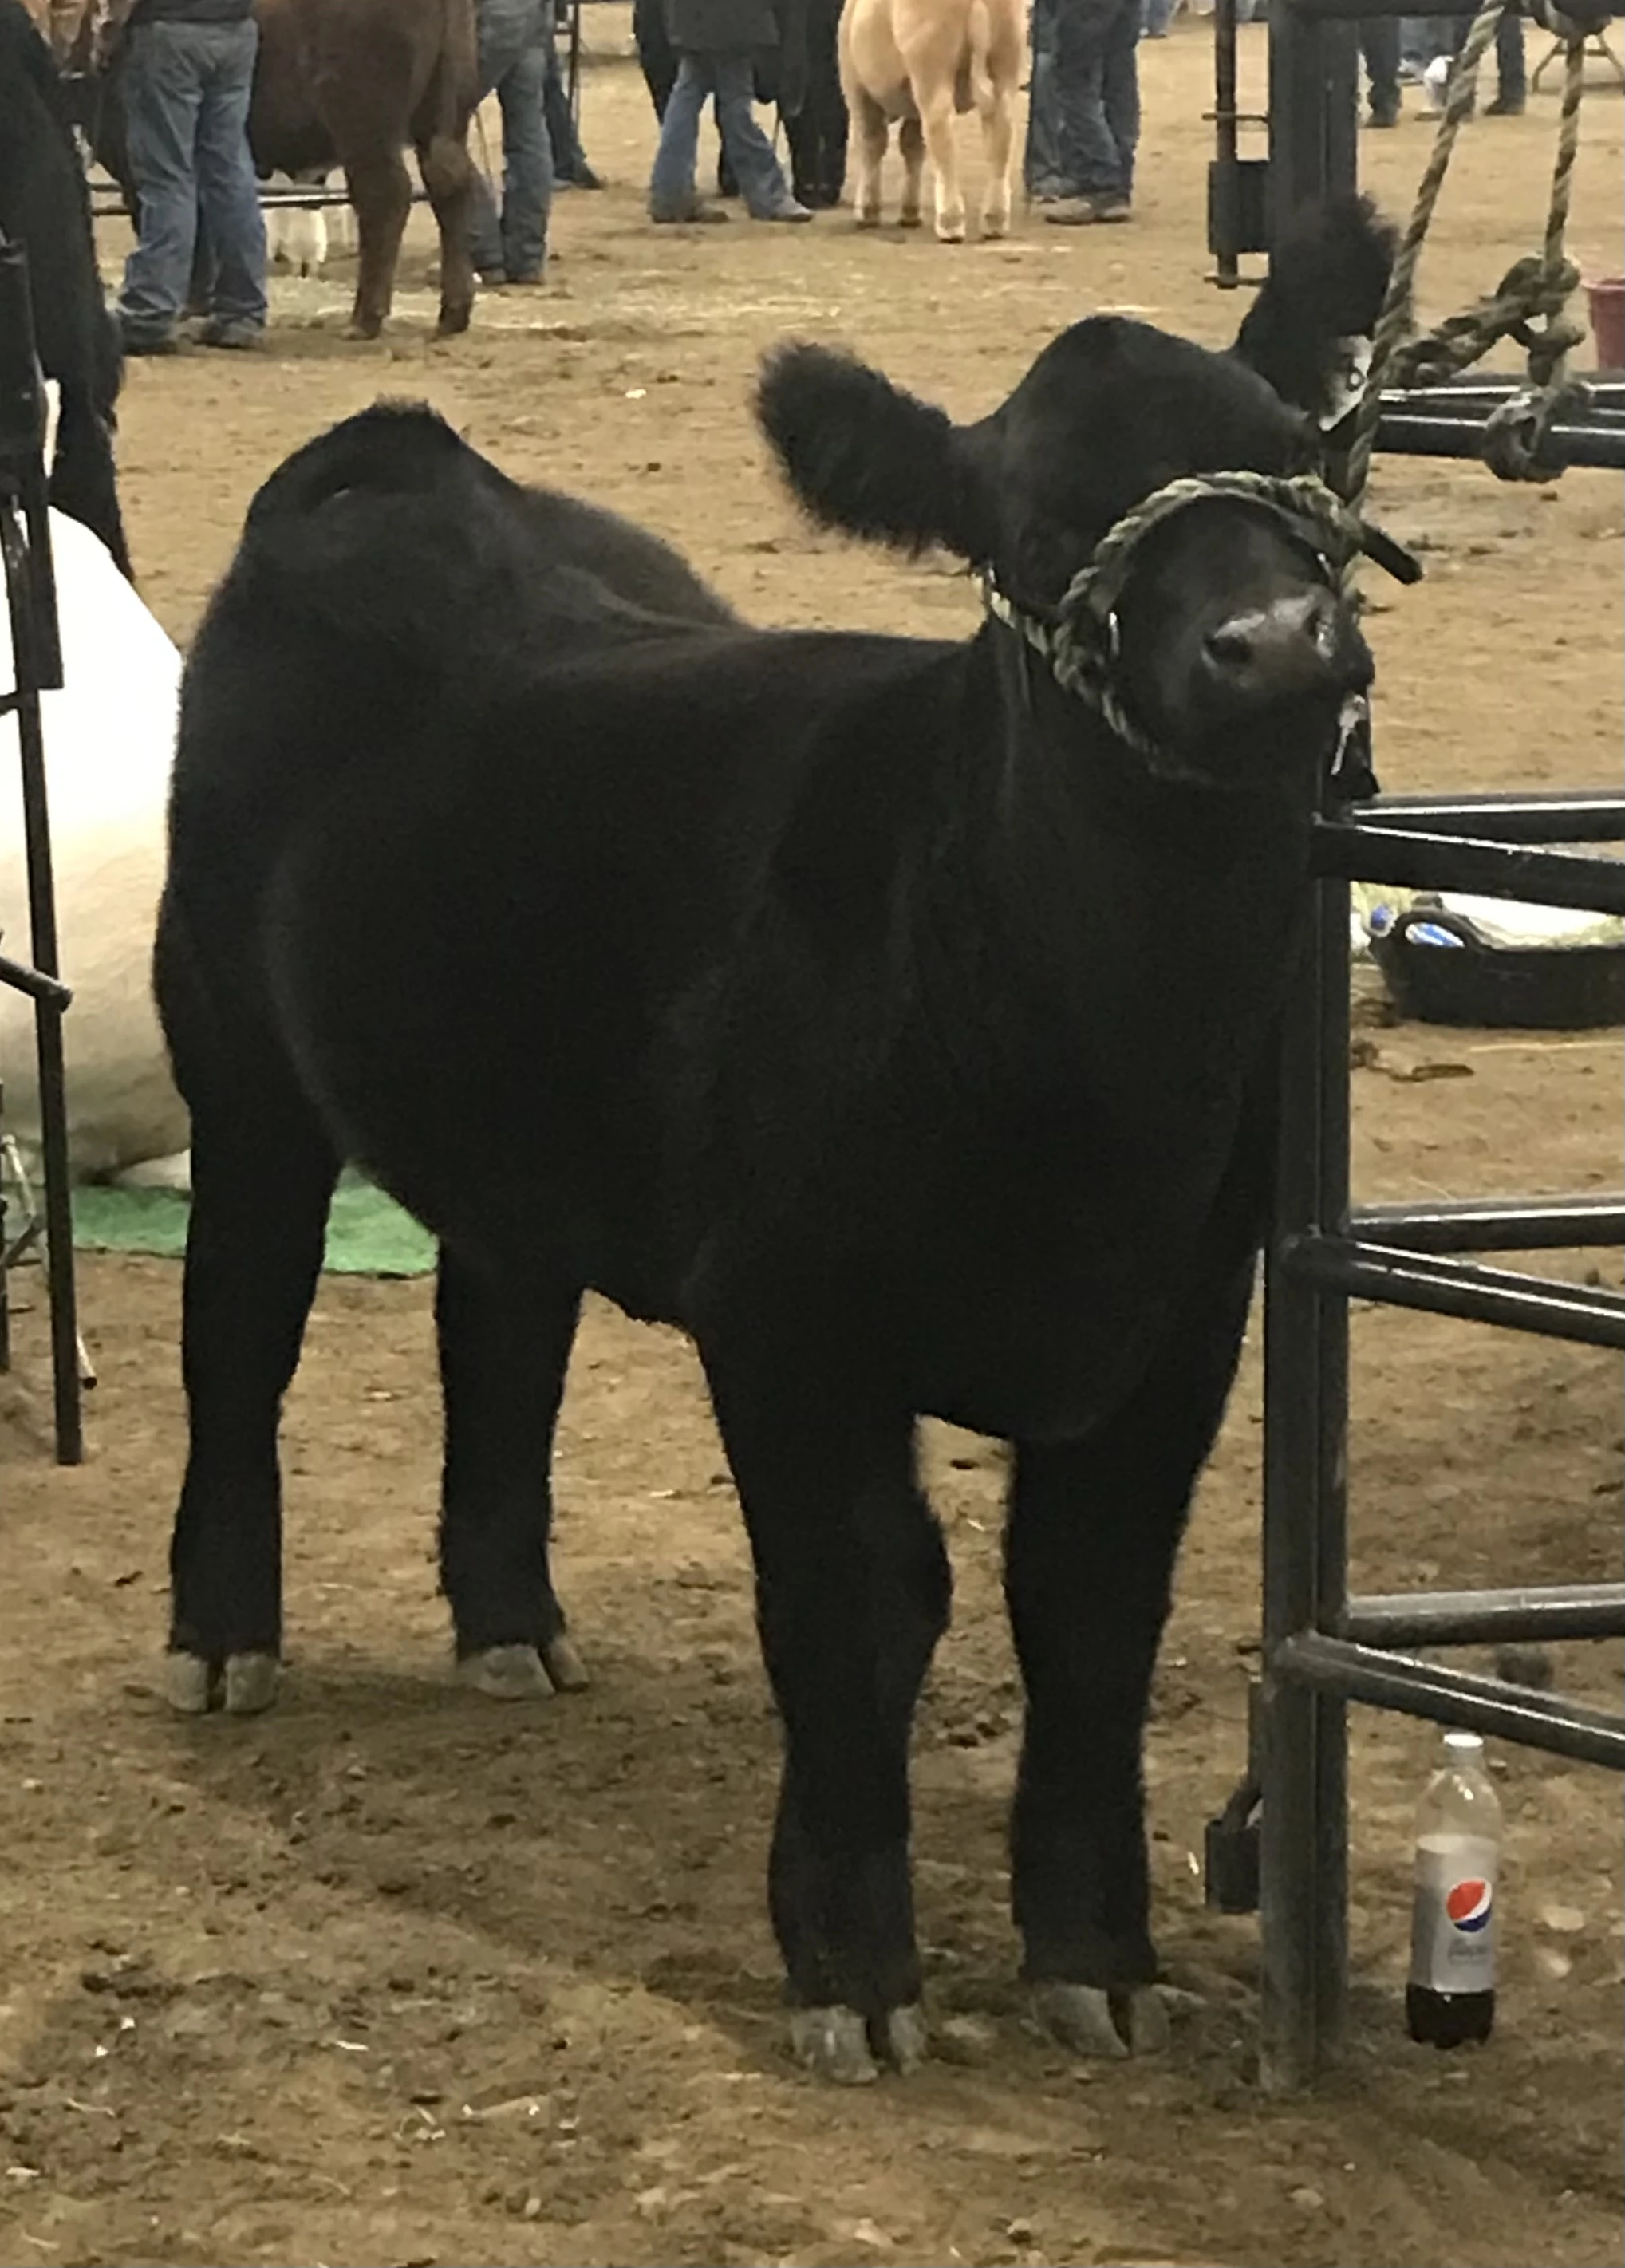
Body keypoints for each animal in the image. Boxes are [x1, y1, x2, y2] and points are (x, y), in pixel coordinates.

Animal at [81, 0, 477, 339]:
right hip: (445, 116)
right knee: (451, 183)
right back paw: (453, 313)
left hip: (364, 125)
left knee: (385, 196)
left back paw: (365, 319)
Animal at [151, 197, 1410, 2084]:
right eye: (1039, 524)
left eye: (1293, 467)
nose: (1276, 640)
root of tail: (396, 460)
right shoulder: (788, 1317)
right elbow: (863, 1600)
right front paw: (851, 1961)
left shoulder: (1185, 1310)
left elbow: (1093, 1601)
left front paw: (1095, 1953)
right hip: (233, 1058)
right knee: (239, 1323)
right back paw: (224, 1638)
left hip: (516, 1123)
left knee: (499, 1325)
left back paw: (509, 1625)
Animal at [838, 0, 1022, 239]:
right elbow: (914, 147)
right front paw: (910, 211)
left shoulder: (857, 89)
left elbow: (872, 143)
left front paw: (867, 211)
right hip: (1006, 62)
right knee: (1001, 133)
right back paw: (994, 220)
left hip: (931, 67)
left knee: (940, 131)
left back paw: (950, 222)